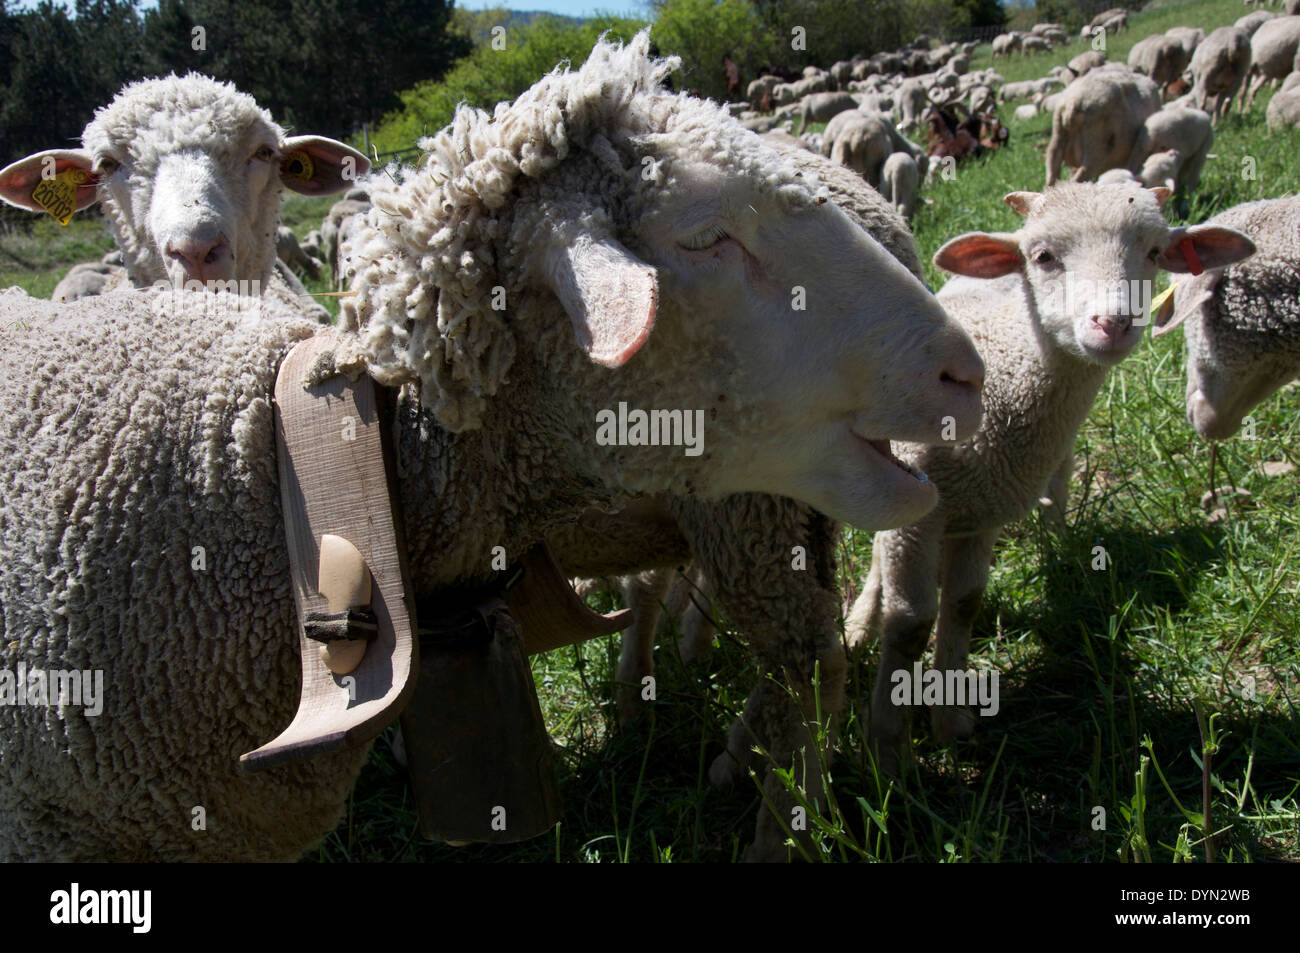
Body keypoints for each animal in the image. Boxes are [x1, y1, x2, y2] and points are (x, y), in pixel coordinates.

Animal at [842, 184, 1256, 769]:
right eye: (1044, 257)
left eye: (1154, 254)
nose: (1114, 323)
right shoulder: (920, 514)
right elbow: (910, 623)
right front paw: (887, 750)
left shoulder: (984, 511)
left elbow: (964, 605)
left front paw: (950, 719)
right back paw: (860, 624)